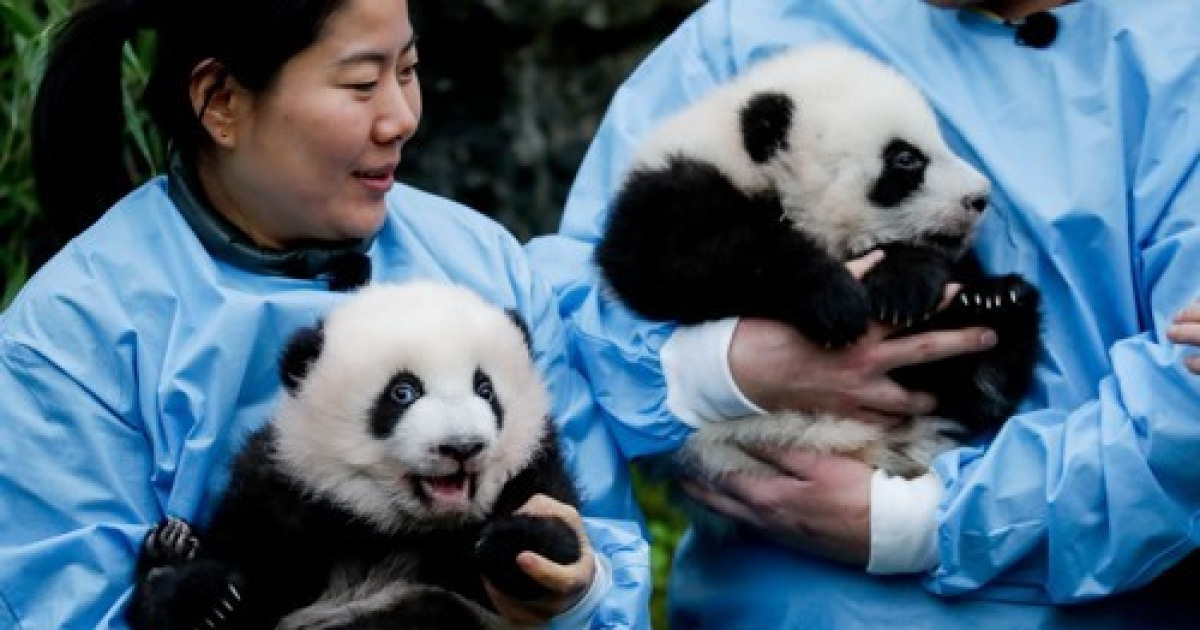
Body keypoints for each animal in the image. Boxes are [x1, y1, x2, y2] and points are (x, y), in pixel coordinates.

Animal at [127, 281, 582, 630]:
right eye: (402, 392)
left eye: (485, 389)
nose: (461, 446)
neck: (392, 527)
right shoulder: (283, 490)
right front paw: (203, 595)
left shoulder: (532, 470)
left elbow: (554, 528)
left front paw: (514, 543)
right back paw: (169, 550)